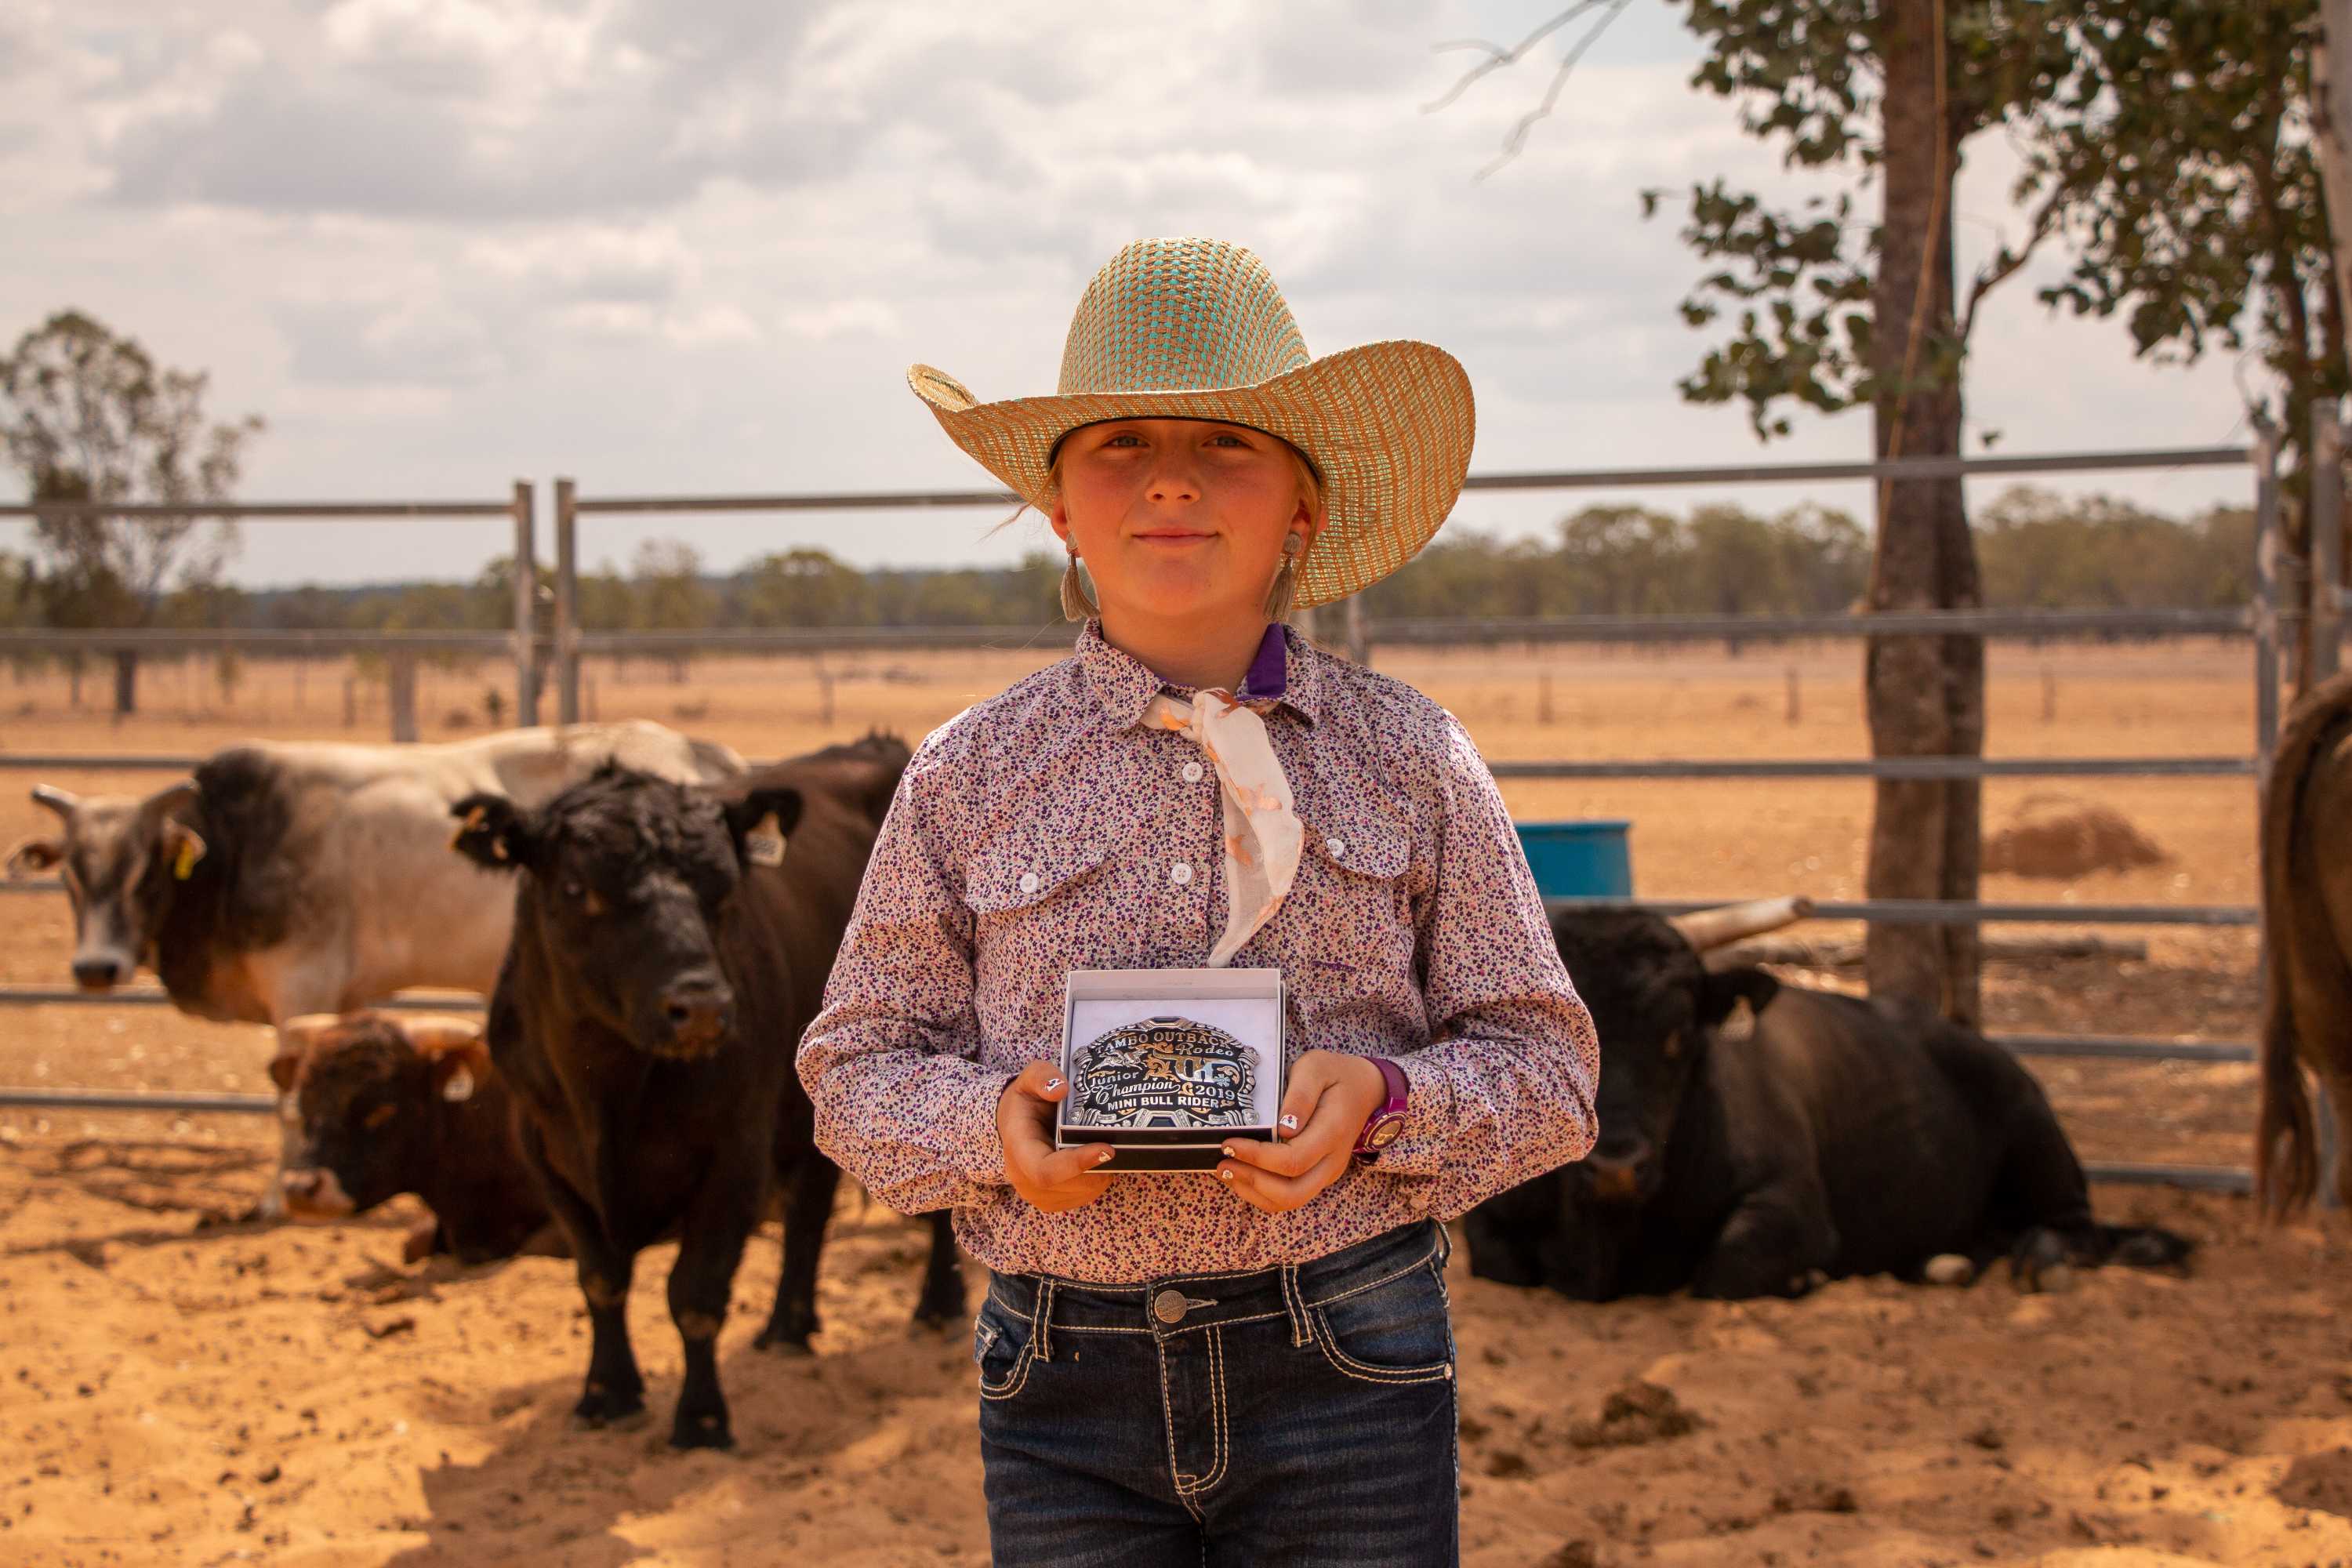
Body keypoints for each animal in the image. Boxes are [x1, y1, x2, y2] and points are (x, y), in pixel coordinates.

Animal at [4, 722, 742, 1214]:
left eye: (142, 873)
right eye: (70, 875)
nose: (95, 969)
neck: (239, 847)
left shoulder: (299, 984)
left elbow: (285, 1103)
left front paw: (274, 1201)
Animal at [452, 735, 963, 1450]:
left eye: (722, 888)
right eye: (578, 888)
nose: (702, 1008)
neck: (606, 1090)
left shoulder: (734, 1154)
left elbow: (695, 1294)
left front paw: (700, 1418)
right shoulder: (544, 1152)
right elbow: (601, 1279)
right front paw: (607, 1393)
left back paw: (937, 1306)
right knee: (810, 1206)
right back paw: (788, 1327)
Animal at [1465, 900, 2193, 1301]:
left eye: (1680, 1036)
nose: (1616, 1165)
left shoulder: (1791, 1203)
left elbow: (1728, 1268)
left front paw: (1806, 1280)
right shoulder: (1491, 1226)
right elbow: (1500, 1264)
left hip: (2036, 1135)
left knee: (2076, 1228)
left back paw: (2045, 1260)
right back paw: (1948, 1262)